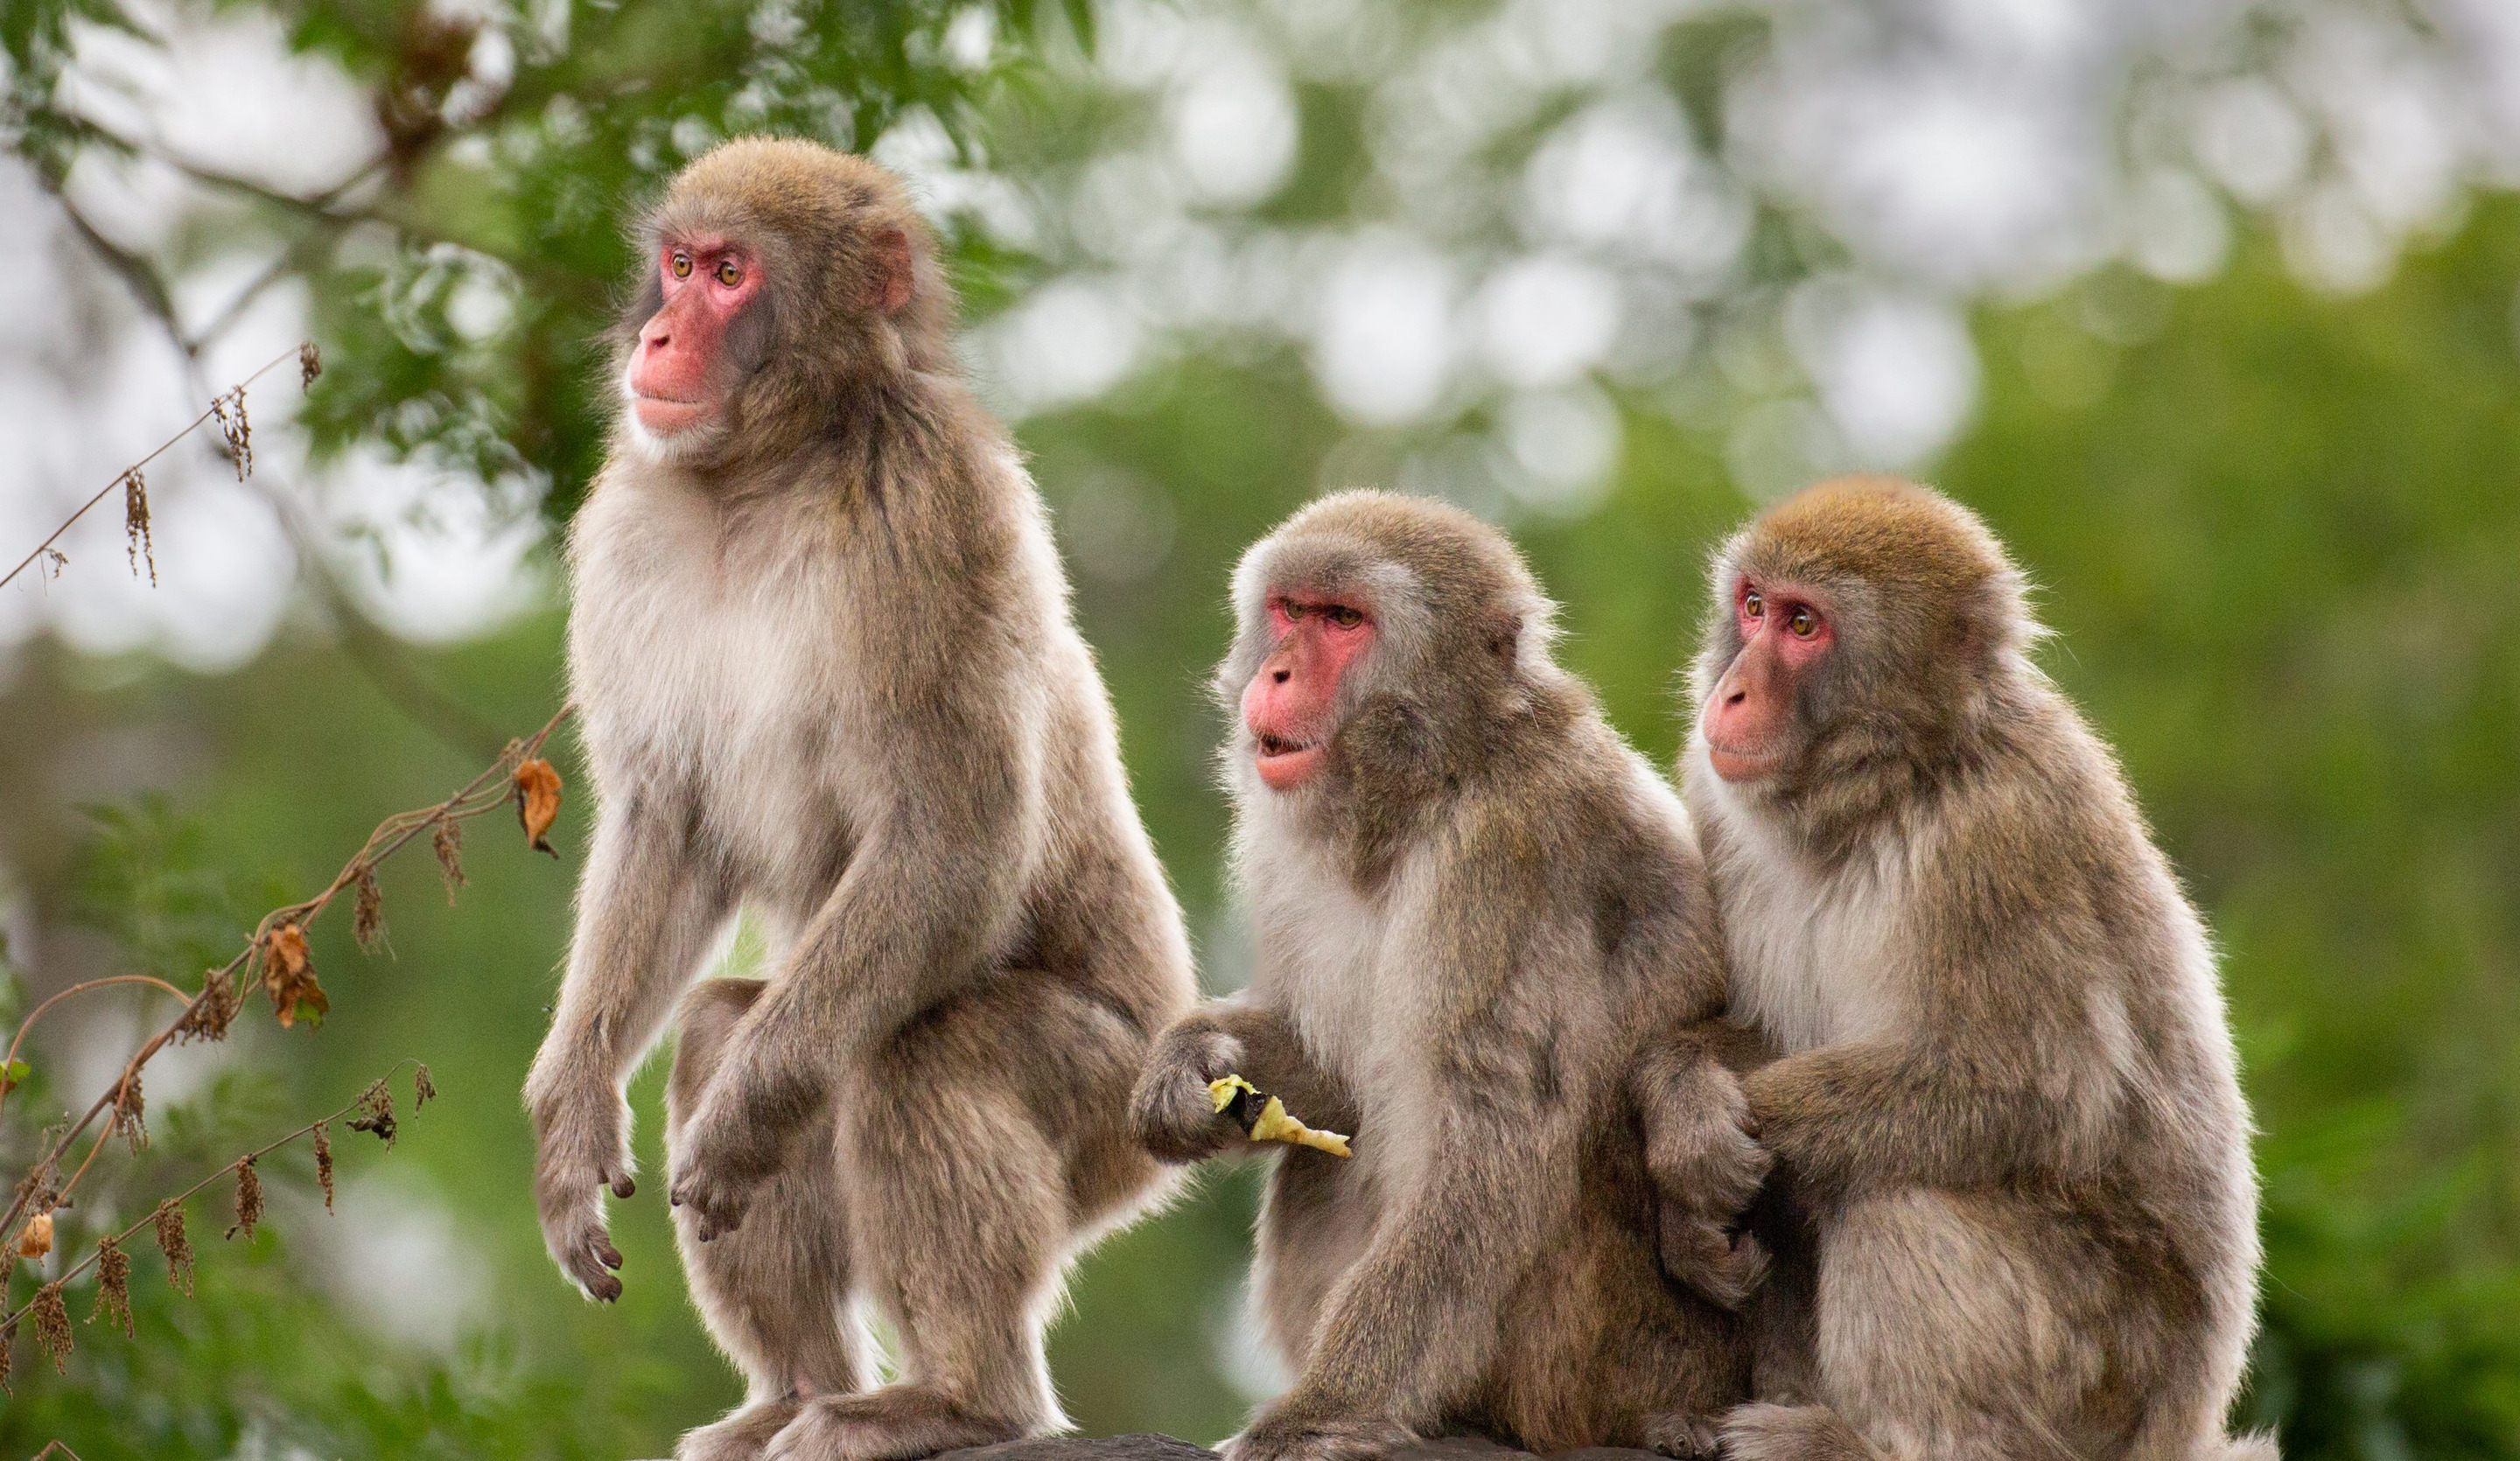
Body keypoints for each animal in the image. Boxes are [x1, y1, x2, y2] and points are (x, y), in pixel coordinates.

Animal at [521, 137, 1196, 1461]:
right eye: (679, 264)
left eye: (732, 274)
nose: (658, 335)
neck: (768, 469)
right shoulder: (629, 531)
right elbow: (670, 830)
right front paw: (570, 1115)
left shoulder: (932, 505)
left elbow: (952, 839)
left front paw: (737, 1122)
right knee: (725, 1025)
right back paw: (793, 1391)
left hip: (1118, 1105)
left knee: (916, 1052)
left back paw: (962, 1400)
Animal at [1129, 491, 1768, 1461]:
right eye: (1289, 610)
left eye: (1343, 621)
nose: (1276, 671)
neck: (1435, 781)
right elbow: (1336, 1078)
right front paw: (1191, 1061)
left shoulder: (1501, 860)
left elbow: (1493, 1143)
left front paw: (1319, 1410)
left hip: (1594, 1354)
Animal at [1674, 475, 2271, 1461]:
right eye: (1753, 606)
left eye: (1804, 625)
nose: (1730, 691)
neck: (1892, 789)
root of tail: (2183, 1426)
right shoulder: (1713, 792)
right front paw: (1675, 1099)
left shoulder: (2003, 834)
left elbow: (2018, 1085)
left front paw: (1688, 1137)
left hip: (2099, 1368)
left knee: (1903, 1185)